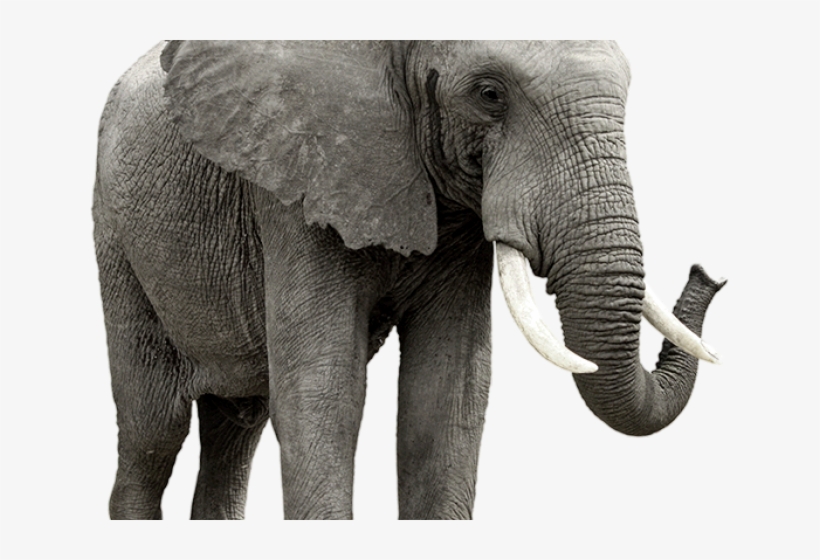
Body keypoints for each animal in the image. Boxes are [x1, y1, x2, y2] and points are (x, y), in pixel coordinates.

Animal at [93, 40, 725, 520]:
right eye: (489, 94)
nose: (708, 274)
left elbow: (445, 395)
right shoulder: (296, 183)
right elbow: (323, 392)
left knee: (234, 430)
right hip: (117, 243)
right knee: (154, 428)